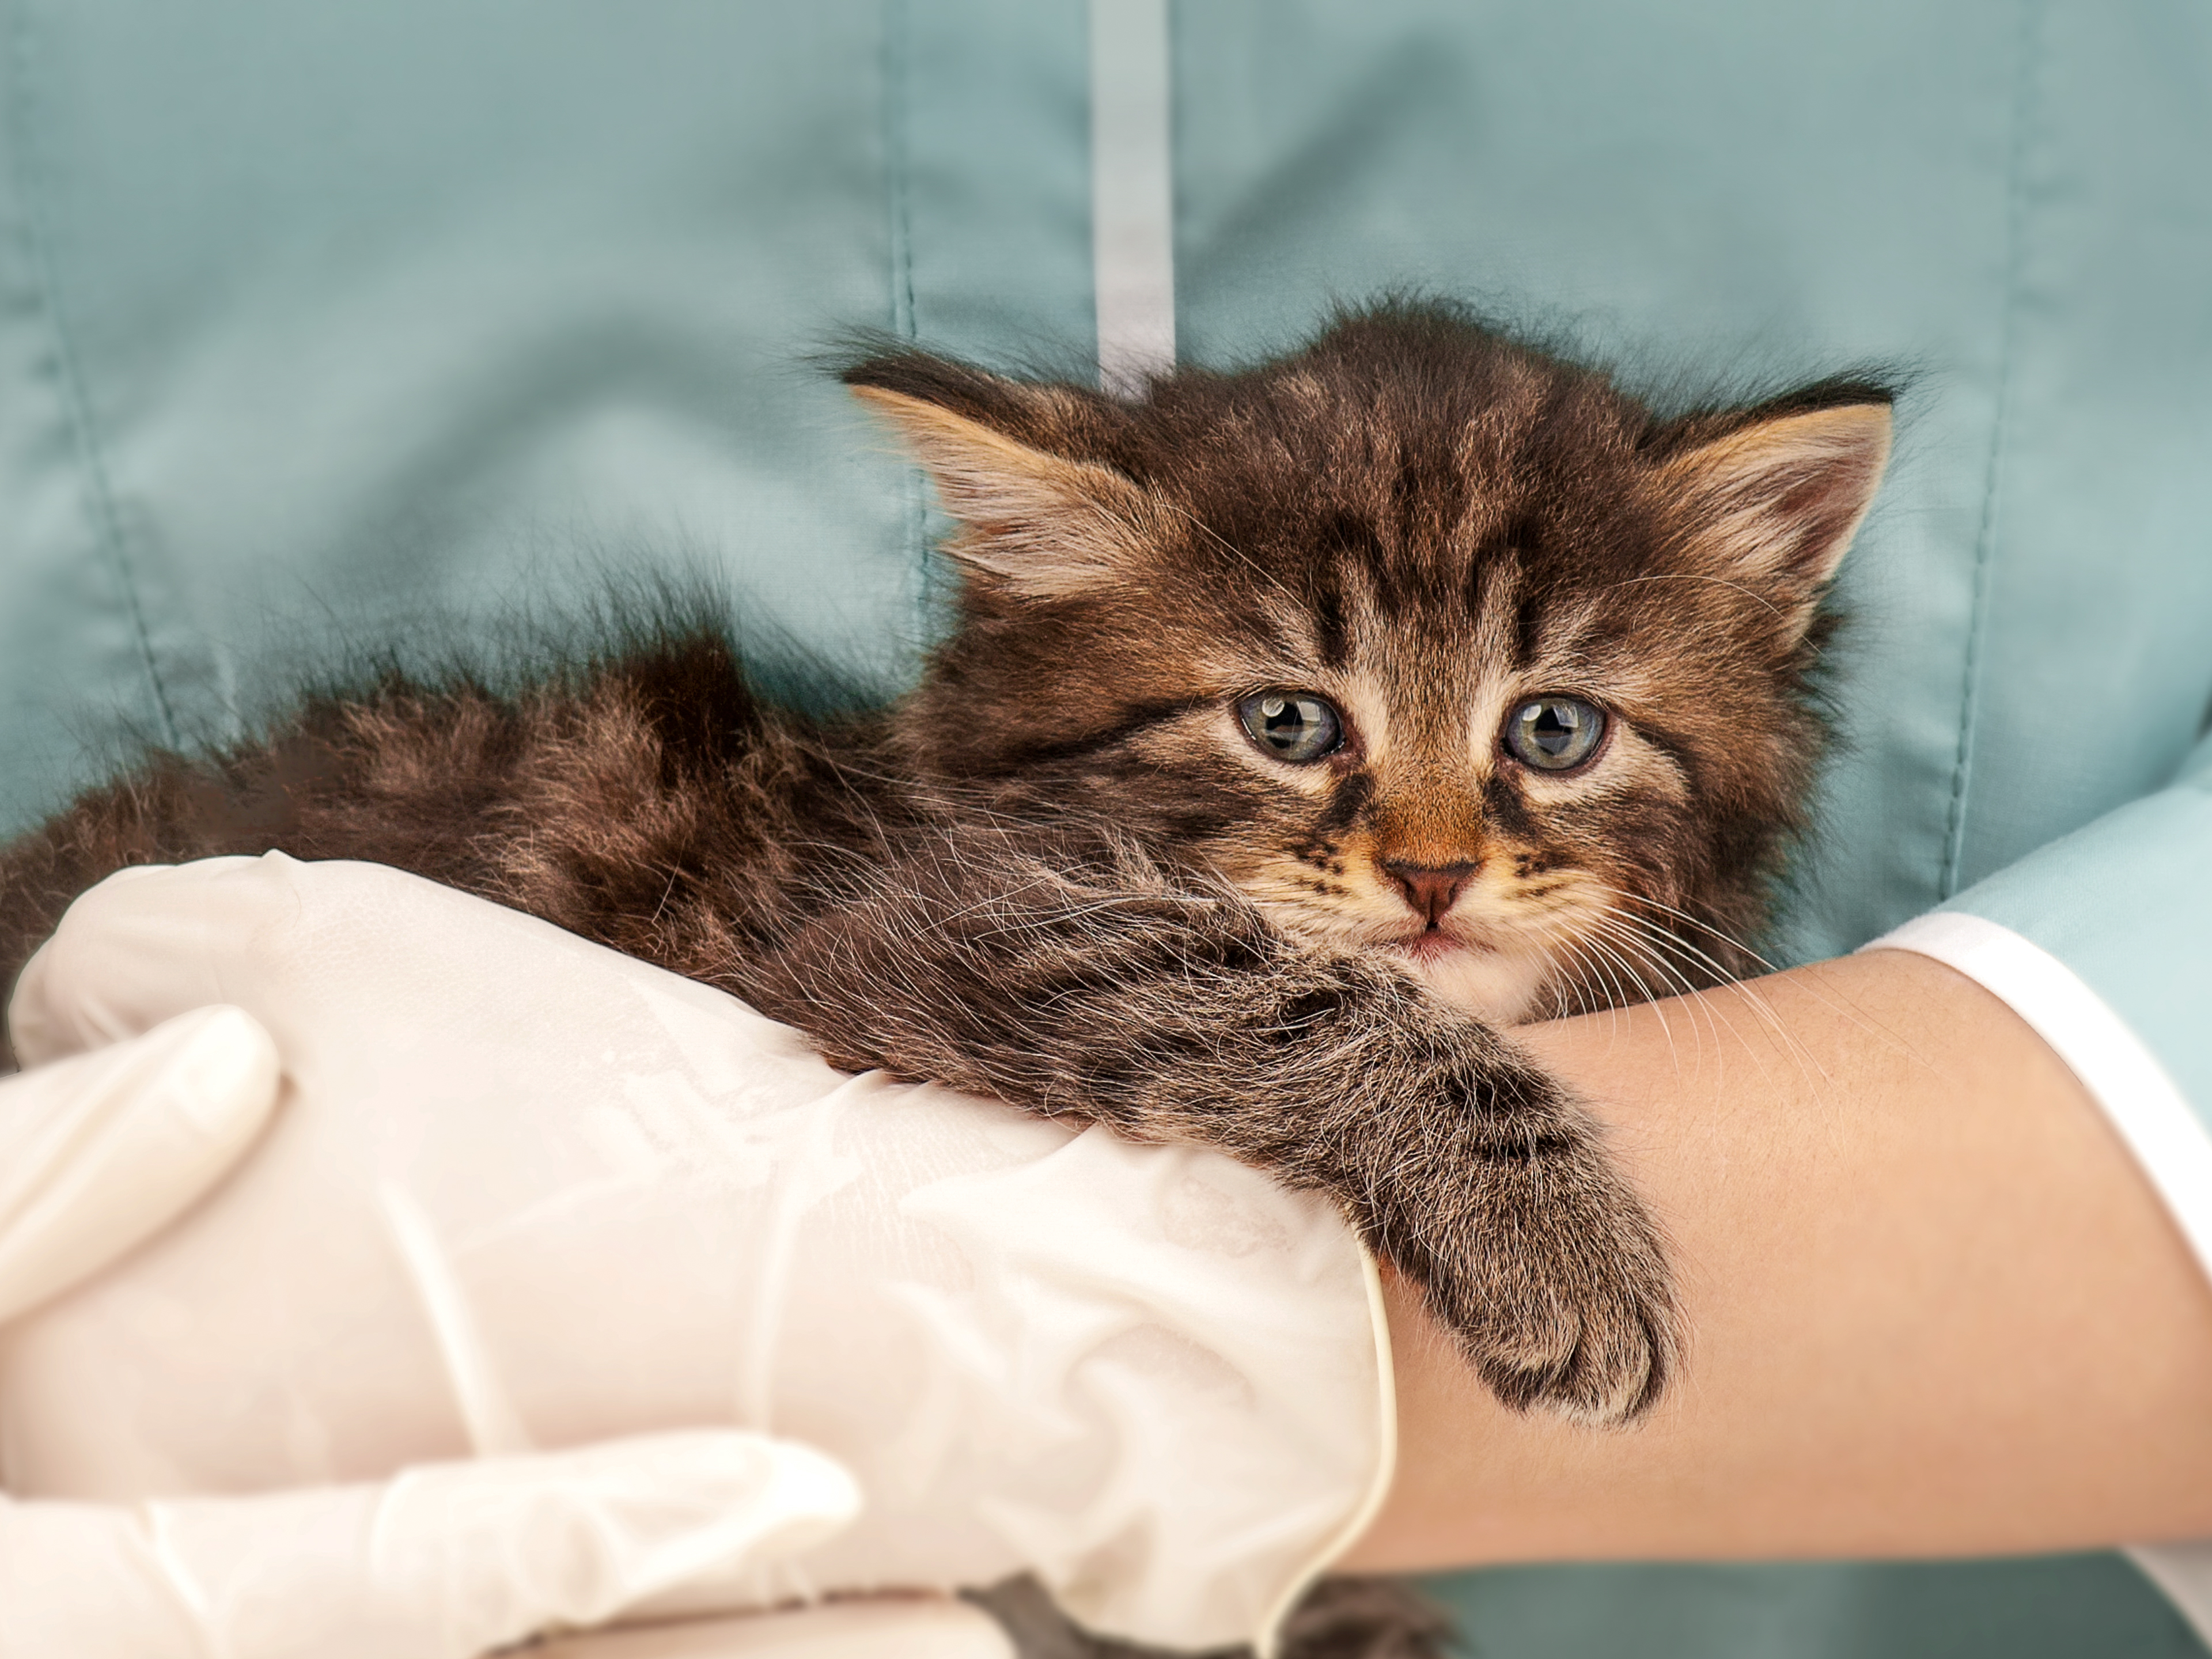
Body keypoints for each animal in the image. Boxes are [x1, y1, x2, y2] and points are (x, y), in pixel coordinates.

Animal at [0, 305, 1884, 1654]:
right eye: (1286, 721)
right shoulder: (906, 925)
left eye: (1552, 730)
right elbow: (1289, 988)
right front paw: (1547, 1238)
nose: (1429, 875)